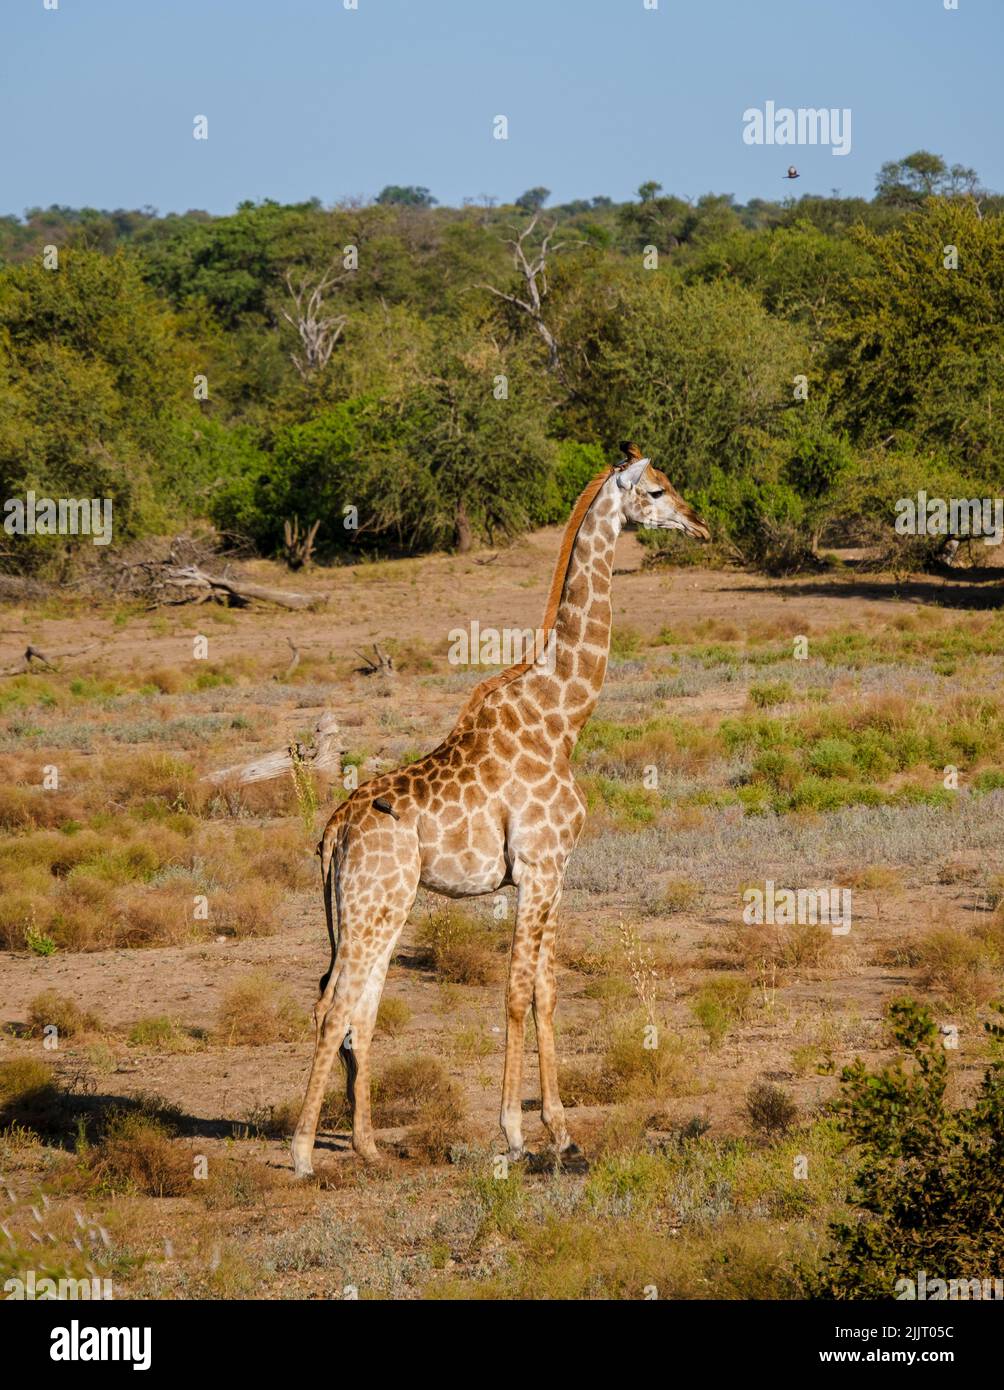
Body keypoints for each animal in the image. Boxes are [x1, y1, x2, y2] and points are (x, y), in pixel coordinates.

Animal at [290, 443, 710, 1176]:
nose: (699, 524)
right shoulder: (539, 866)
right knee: (333, 1004)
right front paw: (515, 1133)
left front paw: (564, 1133)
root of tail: (334, 829)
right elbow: (514, 991)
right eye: (656, 491)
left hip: (374, 906)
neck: (563, 718)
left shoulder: (555, 873)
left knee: (357, 1006)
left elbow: (545, 992)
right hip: (375, 903)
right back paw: (304, 1155)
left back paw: (369, 1147)